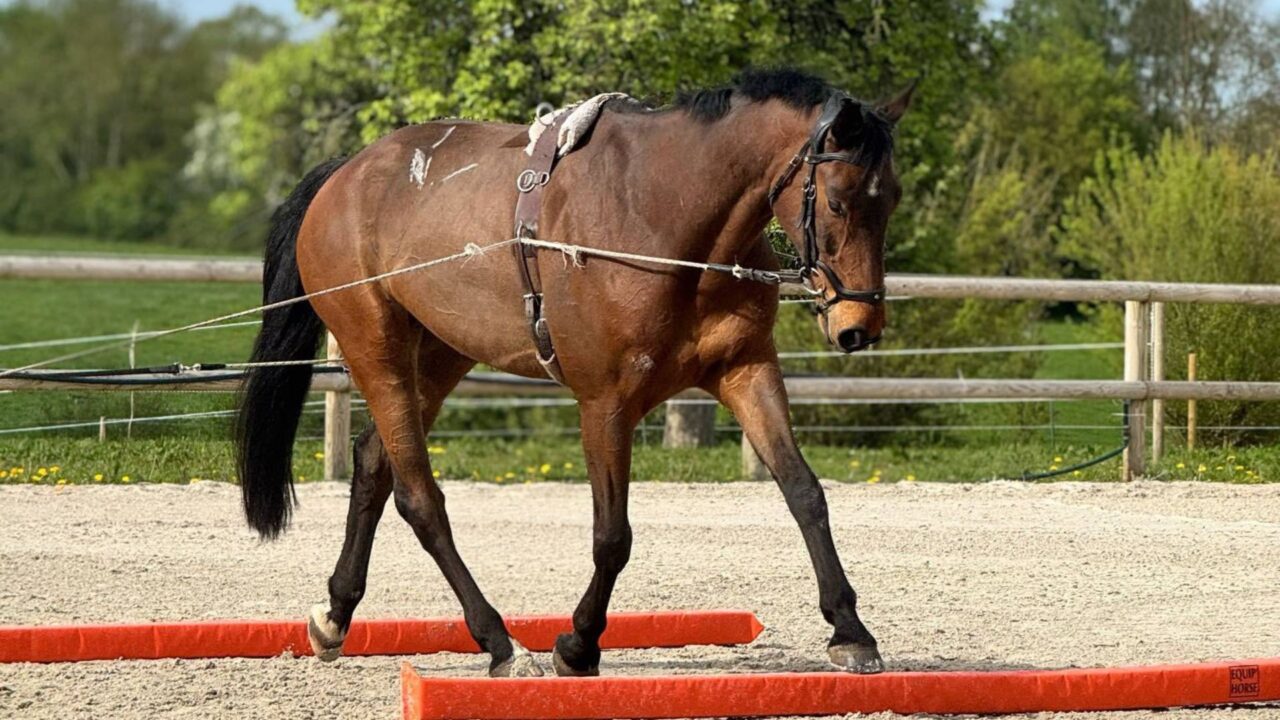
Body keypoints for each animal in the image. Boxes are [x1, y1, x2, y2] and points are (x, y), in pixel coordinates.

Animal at [234, 67, 912, 678]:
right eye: (836, 200)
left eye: (892, 199)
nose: (859, 326)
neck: (663, 217)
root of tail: (343, 174)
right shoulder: (605, 405)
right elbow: (612, 536)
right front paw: (578, 644)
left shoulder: (746, 371)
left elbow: (805, 492)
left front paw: (851, 632)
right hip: (376, 350)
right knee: (418, 497)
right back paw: (501, 643)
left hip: (438, 355)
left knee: (375, 465)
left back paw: (335, 617)